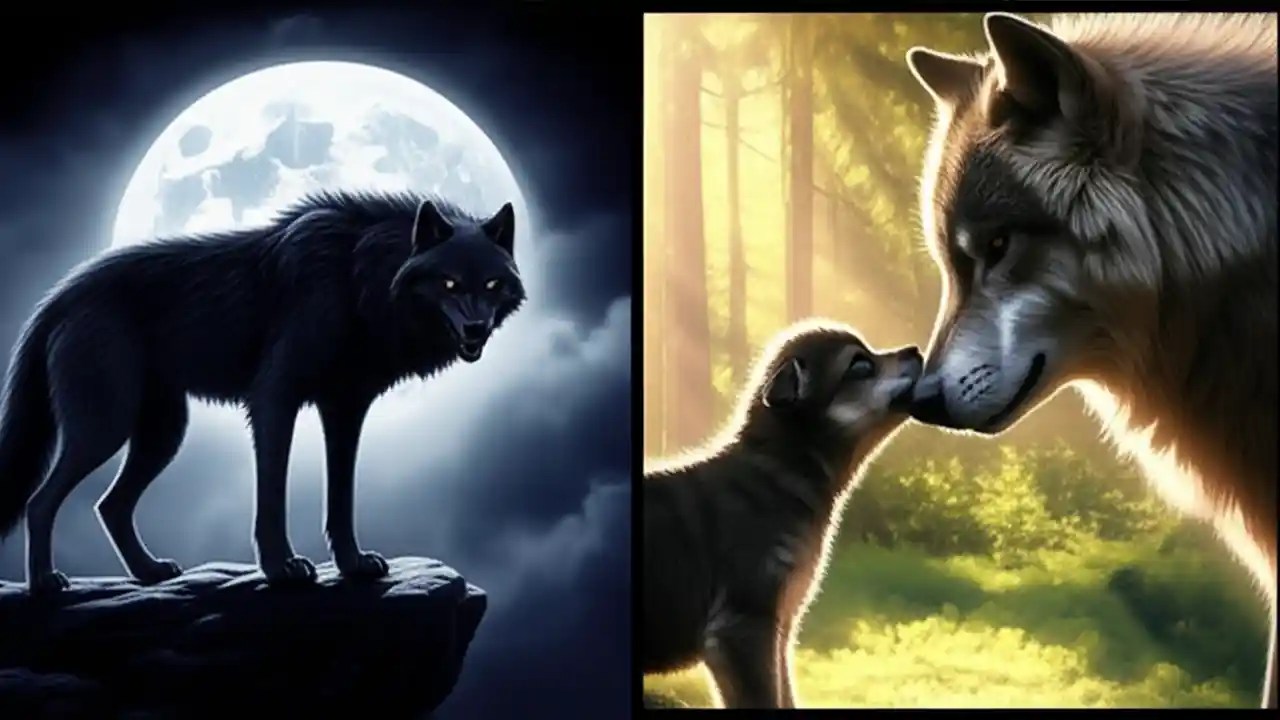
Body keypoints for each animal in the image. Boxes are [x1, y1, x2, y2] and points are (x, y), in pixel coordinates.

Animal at [0, 190, 525, 593]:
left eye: (492, 283)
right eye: (449, 283)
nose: (476, 330)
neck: (358, 278)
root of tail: (61, 293)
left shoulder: (345, 409)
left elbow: (342, 498)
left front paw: (353, 565)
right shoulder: (275, 399)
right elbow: (272, 494)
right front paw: (281, 569)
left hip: (161, 435)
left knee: (110, 505)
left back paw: (149, 572)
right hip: (105, 428)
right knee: (40, 502)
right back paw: (45, 583)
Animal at [643, 321, 921, 708]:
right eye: (860, 365)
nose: (916, 350)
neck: (780, 471)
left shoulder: (780, 630)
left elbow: (785, 695)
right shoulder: (742, 629)